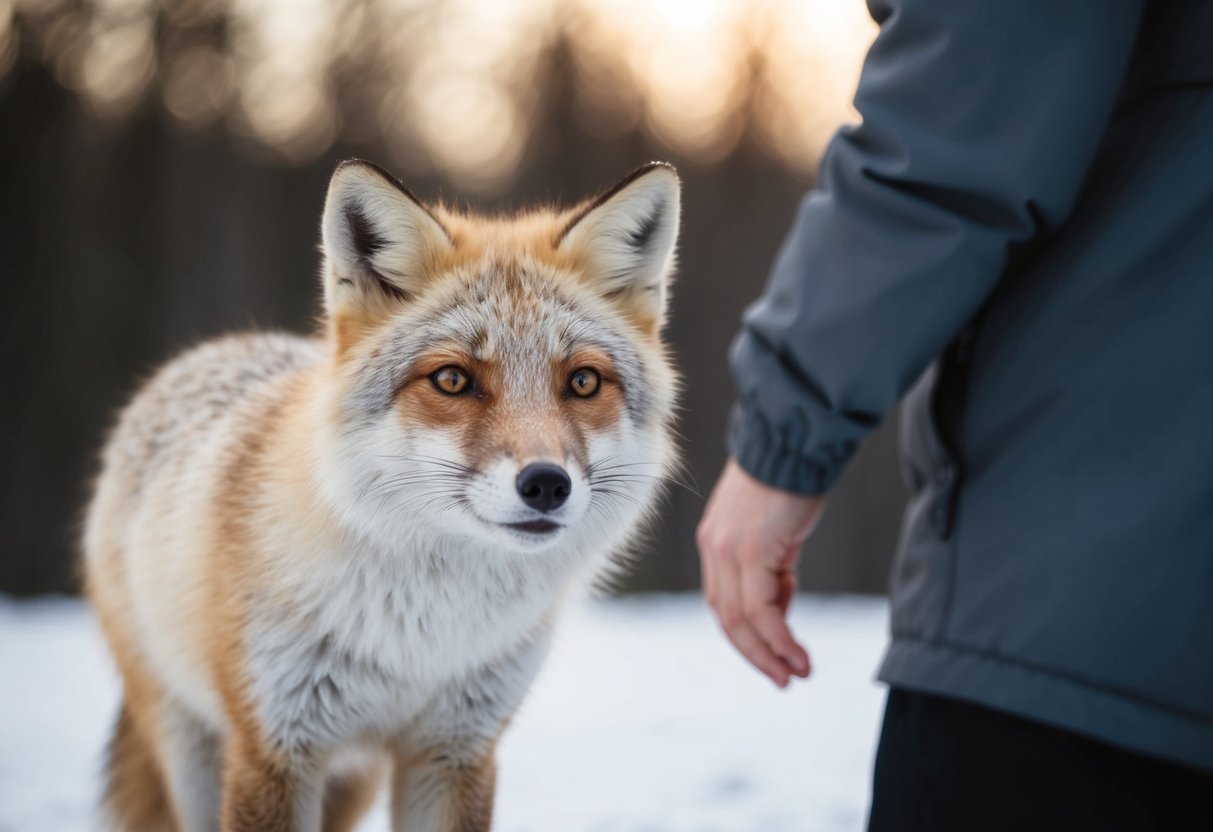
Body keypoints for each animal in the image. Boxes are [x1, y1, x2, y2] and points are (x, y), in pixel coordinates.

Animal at [81, 158, 681, 832]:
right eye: (452, 380)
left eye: (582, 382)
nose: (547, 484)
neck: (420, 640)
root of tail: (214, 350)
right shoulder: (276, 748)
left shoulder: (455, 751)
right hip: (193, 750)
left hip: (353, 778)